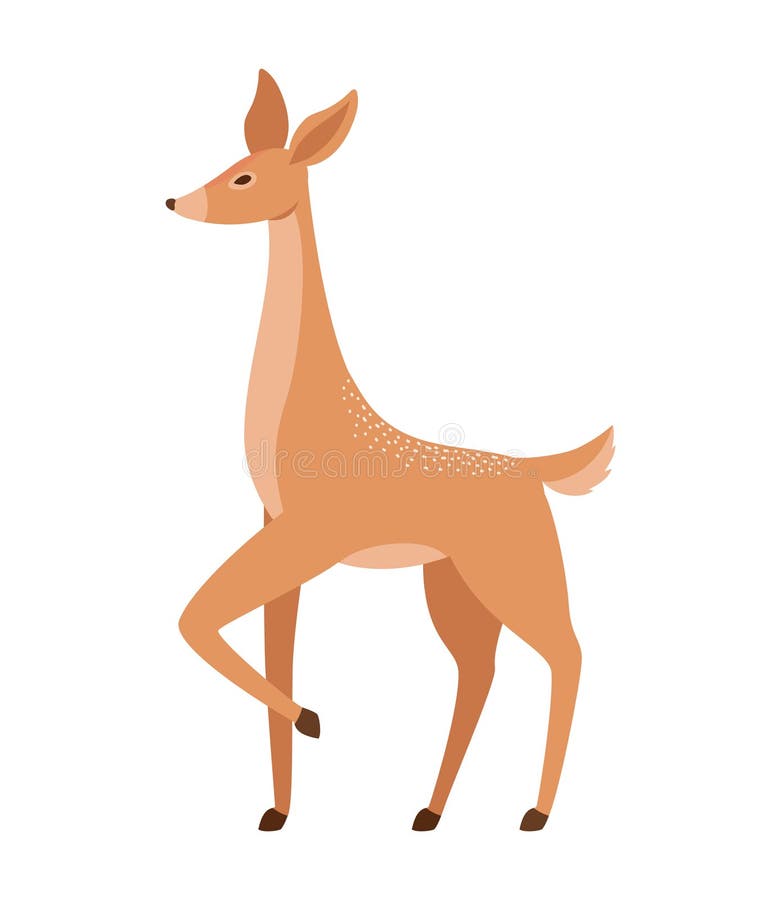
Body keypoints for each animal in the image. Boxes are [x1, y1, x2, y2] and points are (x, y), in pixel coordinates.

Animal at [168, 70, 613, 833]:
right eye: (229, 165)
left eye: (244, 176)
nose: (175, 200)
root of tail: (537, 470)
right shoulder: (273, 526)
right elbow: (262, 646)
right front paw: (277, 808)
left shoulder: (308, 534)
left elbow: (196, 618)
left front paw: (312, 719)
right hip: (452, 580)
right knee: (479, 670)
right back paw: (430, 811)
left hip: (514, 569)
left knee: (568, 652)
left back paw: (535, 812)